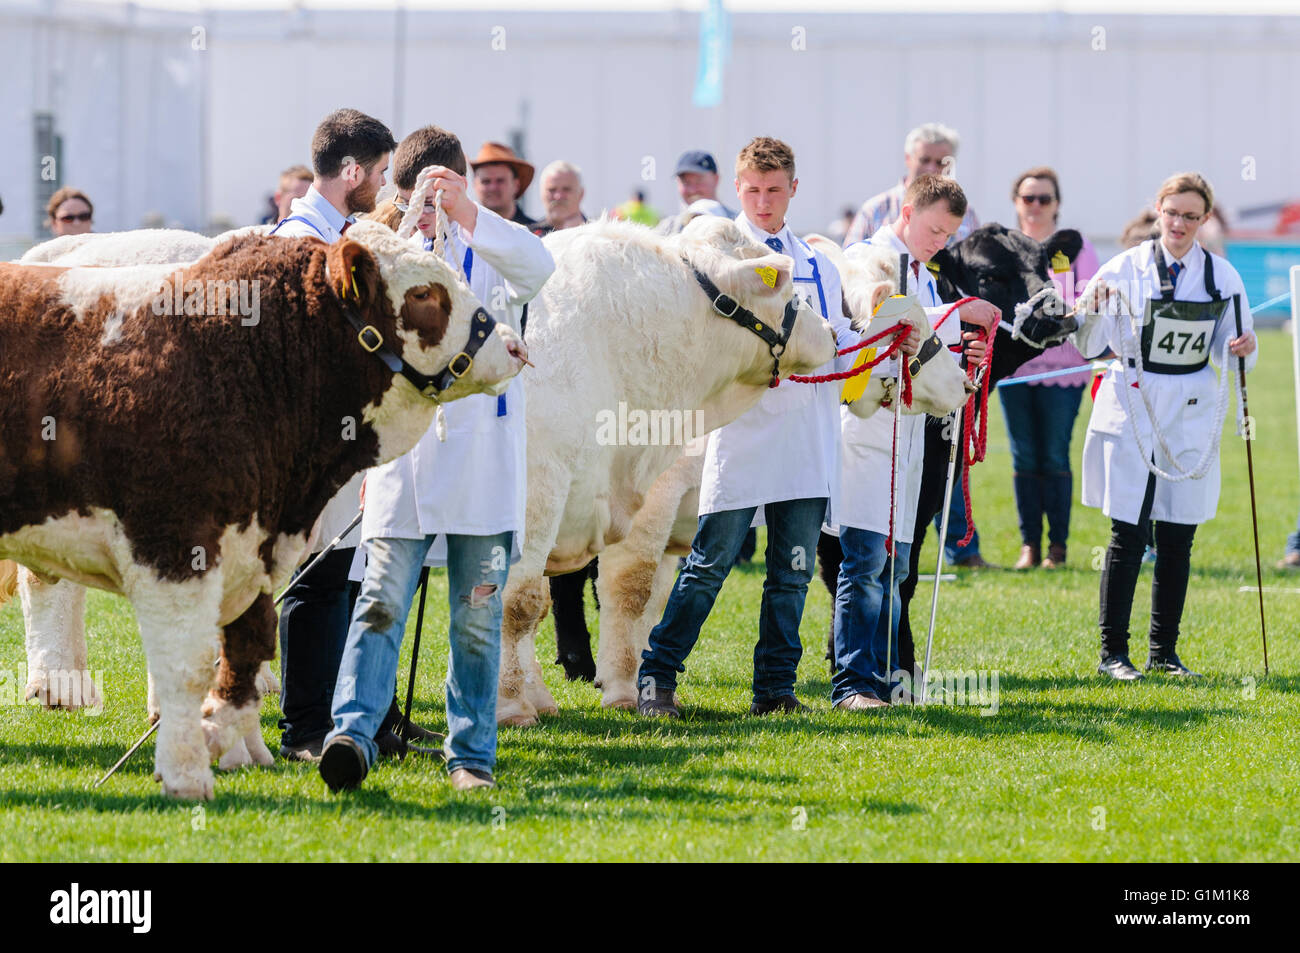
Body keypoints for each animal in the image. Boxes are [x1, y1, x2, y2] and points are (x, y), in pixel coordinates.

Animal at [0, 220, 526, 798]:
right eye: (425, 294)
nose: (515, 344)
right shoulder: (175, 540)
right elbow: (189, 664)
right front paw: (187, 772)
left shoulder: (251, 548)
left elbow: (248, 649)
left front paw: (219, 736)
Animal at [533, 223, 973, 710]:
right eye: (919, 328)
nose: (964, 382)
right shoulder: (646, 507)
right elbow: (630, 590)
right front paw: (627, 688)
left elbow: (656, 603)